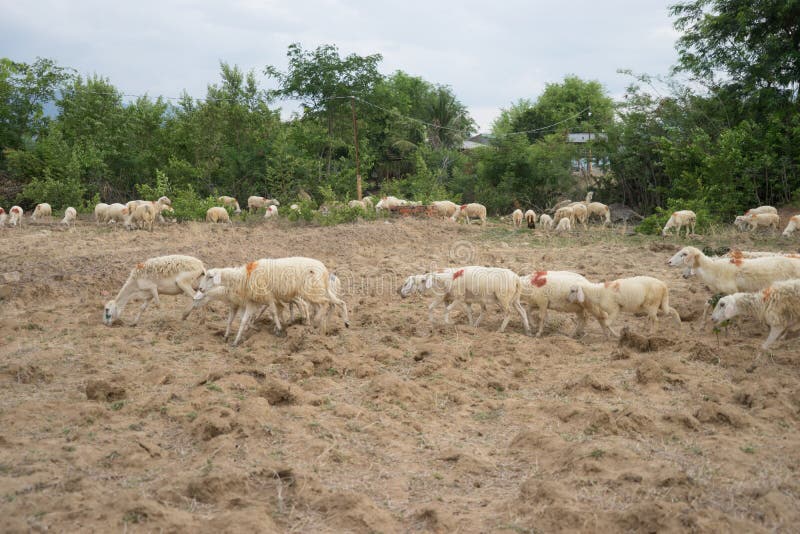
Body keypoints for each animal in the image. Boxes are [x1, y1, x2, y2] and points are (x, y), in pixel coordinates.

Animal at [192, 257, 349, 345]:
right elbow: (244, 320)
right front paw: (235, 340)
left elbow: (273, 312)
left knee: (325, 304)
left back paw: (316, 322)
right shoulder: (253, 301)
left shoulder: (267, 296)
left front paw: (279, 329)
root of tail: (324, 269)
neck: (244, 276)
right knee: (337, 303)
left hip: (312, 290)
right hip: (319, 289)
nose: (200, 288)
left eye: (210, 277)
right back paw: (334, 325)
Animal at [398, 266, 530, 334]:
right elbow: (467, 311)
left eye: (406, 283)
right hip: (515, 299)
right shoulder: (454, 299)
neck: (447, 278)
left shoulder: (458, 298)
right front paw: (470, 325)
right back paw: (527, 330)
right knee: (522, 311)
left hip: (503, 298)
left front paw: (447, 323)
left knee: (509, 313)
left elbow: (447, 309)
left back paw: (500, 330)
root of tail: (517, 279)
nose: (401, 294)